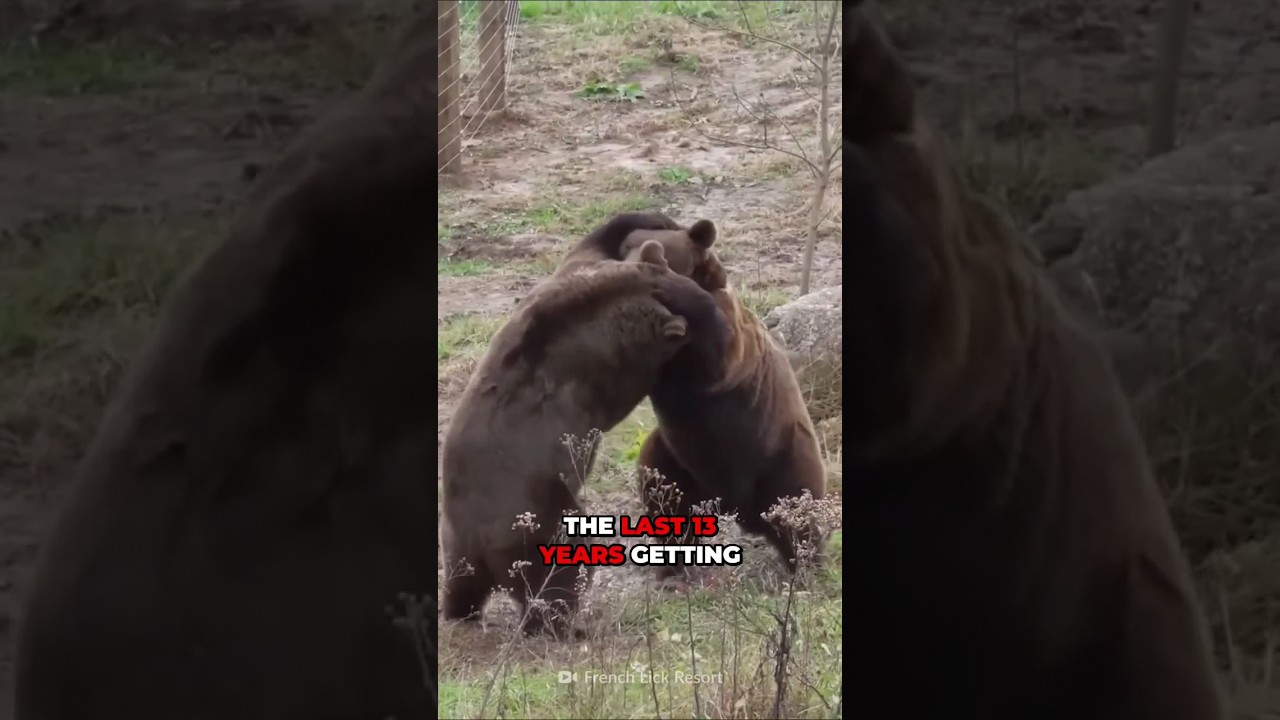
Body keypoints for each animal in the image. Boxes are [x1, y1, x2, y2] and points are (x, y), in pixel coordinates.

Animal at [440, 240, 730, 636]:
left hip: (456, 537)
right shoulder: (613, 360)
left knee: (462, 583)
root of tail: (479, 540)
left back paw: (461, 612)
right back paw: (564, 627)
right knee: (558, 572)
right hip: (540, 516)